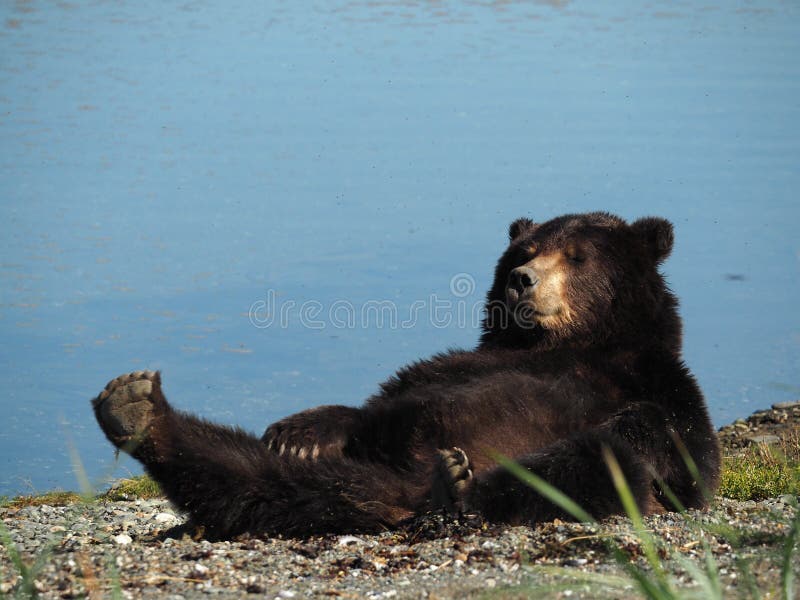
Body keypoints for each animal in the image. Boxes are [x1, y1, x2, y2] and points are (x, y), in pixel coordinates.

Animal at [91, 212, 721, 539]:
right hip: (353, 472)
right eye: (527, 248)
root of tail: (402, 489)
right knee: (254, 478)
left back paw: (461, 487)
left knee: (596, 457)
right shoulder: (453, 364)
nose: (521, 280)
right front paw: (298, 429)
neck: (569, 344)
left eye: (578, 256)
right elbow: (381, 399)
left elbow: (678, 455)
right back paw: (136, 410)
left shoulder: (655, 384)